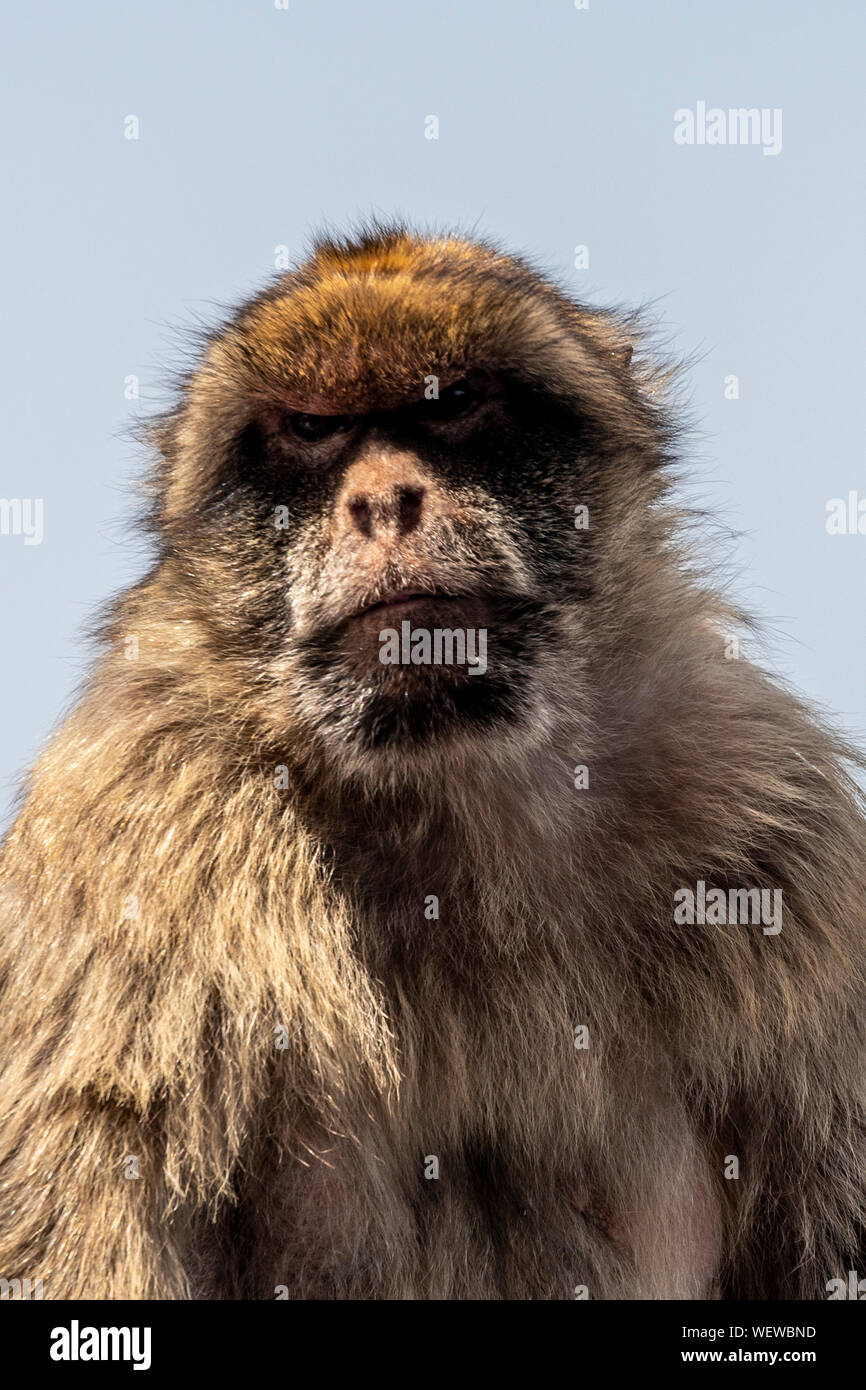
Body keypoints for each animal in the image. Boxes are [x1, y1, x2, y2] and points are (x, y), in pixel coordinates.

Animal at [0, 224, 864, 1301]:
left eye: (450, 403)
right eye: (311, 429)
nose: (383, 501)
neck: (451, 782)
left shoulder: (775, 814)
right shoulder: (129, 834)